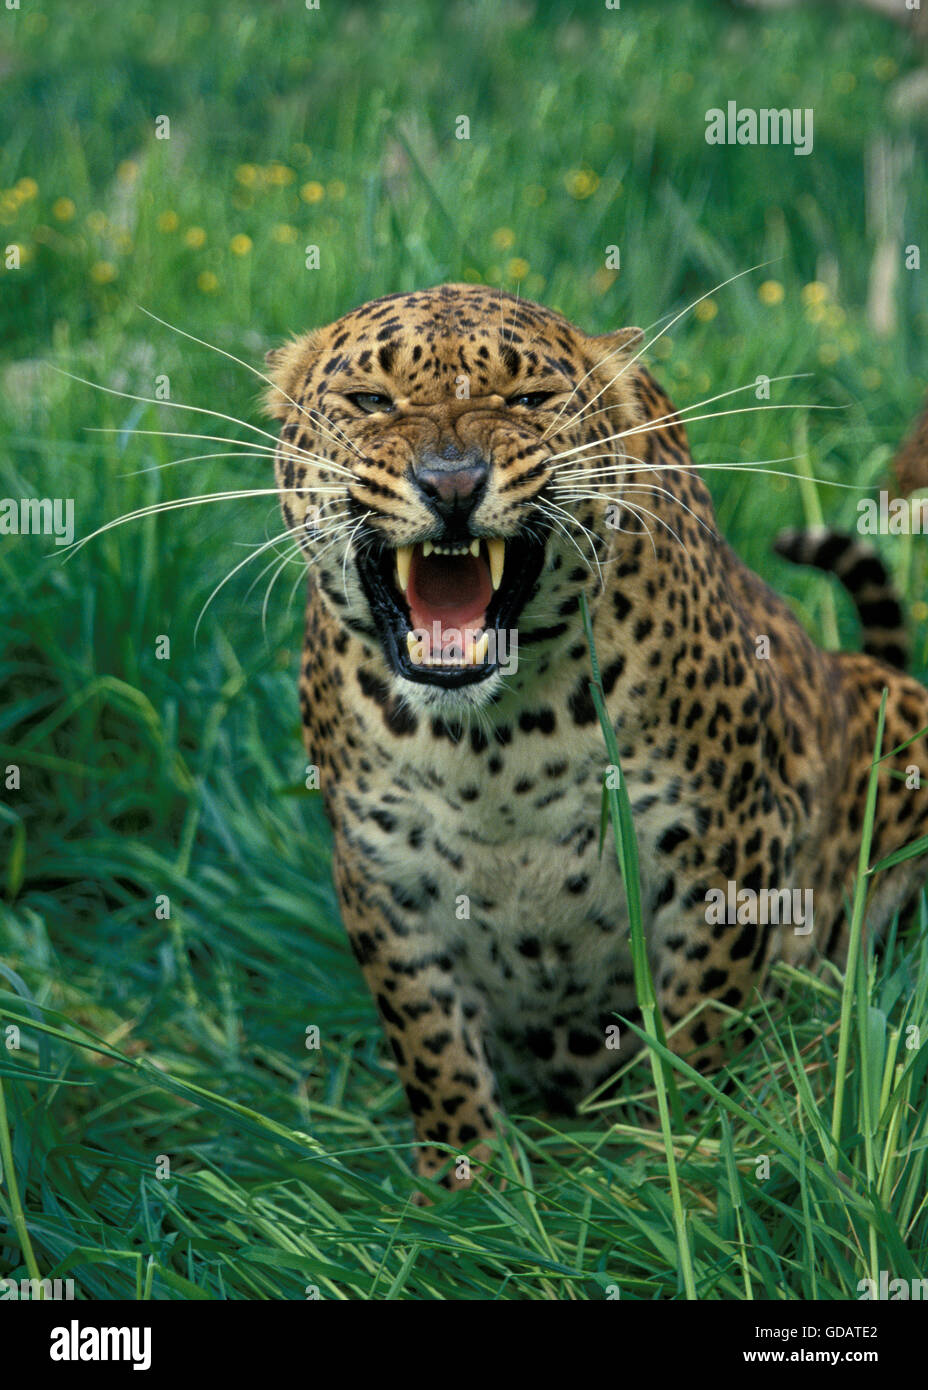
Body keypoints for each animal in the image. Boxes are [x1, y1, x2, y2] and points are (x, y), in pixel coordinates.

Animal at [265, 282, 928, 1188]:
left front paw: (672, 1157)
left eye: (531, 401)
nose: (451, 483)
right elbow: (430, 1042)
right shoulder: (382, 876)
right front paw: (465, 1181)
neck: (490, 746)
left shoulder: (729, 848)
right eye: (371, 402)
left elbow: (695, 1026)